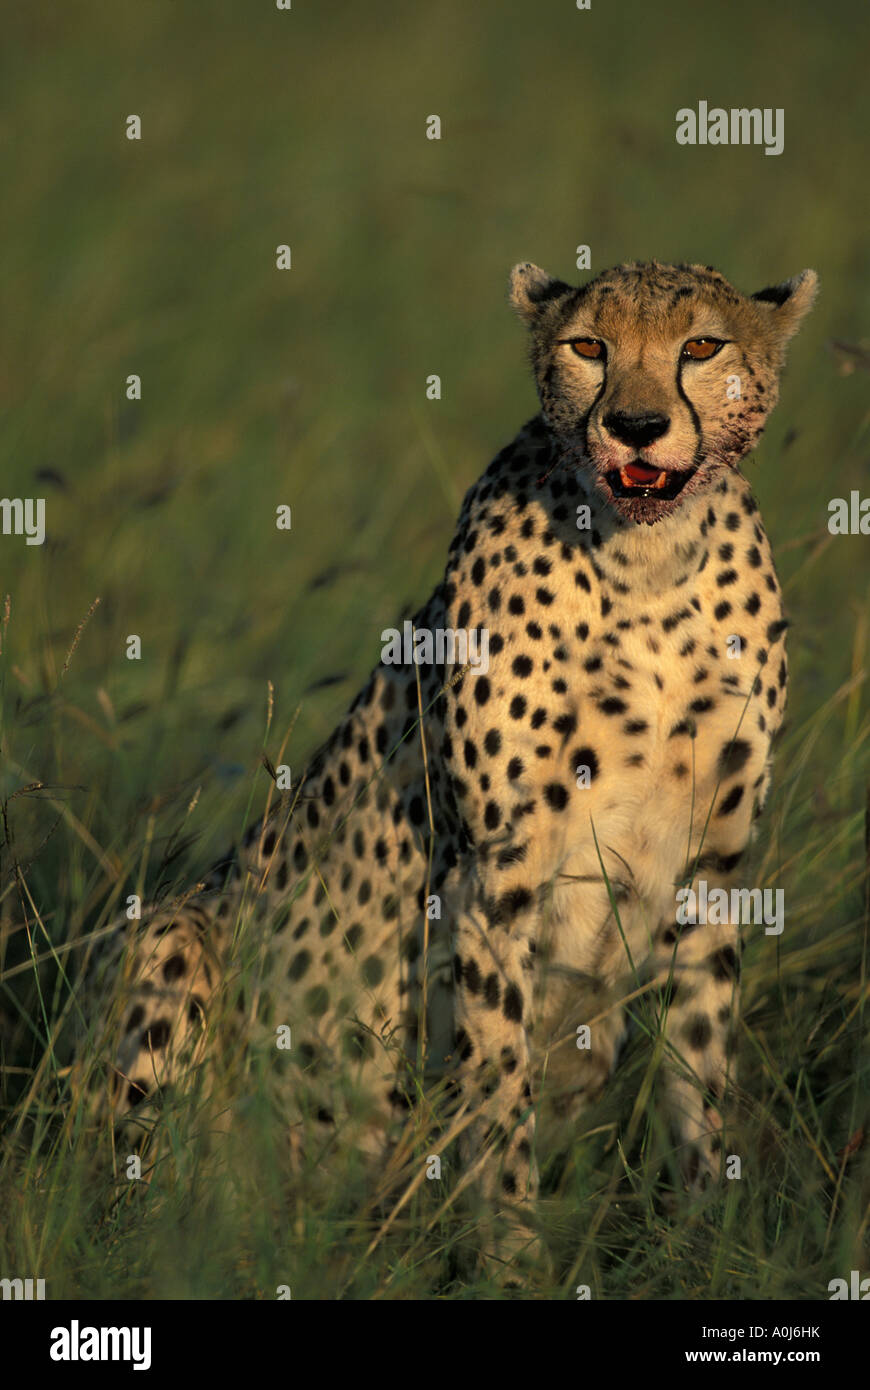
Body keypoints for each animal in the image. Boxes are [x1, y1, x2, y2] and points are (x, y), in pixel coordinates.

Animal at [74, 257, 817, 1271]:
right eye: (590, 346)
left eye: (702, 345)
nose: (634, 425)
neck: (650, 561)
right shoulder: (494, 873)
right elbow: (495, 1090)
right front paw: (512, 1266)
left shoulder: (711, 871)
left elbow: (699, 1083)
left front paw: (707, 1250)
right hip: (171, 941)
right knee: (140, 1195)